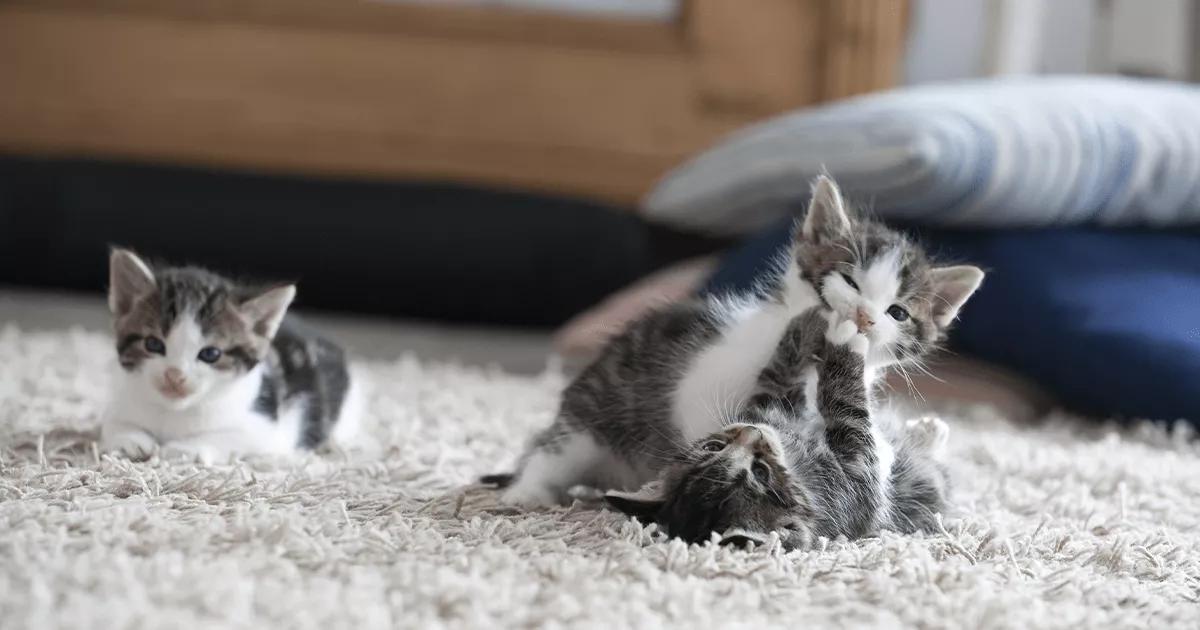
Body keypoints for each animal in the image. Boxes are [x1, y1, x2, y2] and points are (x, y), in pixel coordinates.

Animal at [102, 249, 360, 460]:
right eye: (153, 344)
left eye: (210, 354)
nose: (174, 375)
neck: (175, 411)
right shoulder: (121, 396)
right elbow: (112, 422)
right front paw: (130, 438)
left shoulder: (269, 429)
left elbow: (231, 437)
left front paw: (183, 448)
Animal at [487, 175, 984, 544]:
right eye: (850, 281)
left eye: (897, 312)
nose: (864, 317)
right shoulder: (708, 388)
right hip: (590, 419)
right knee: (552, 451)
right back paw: (526, 492)